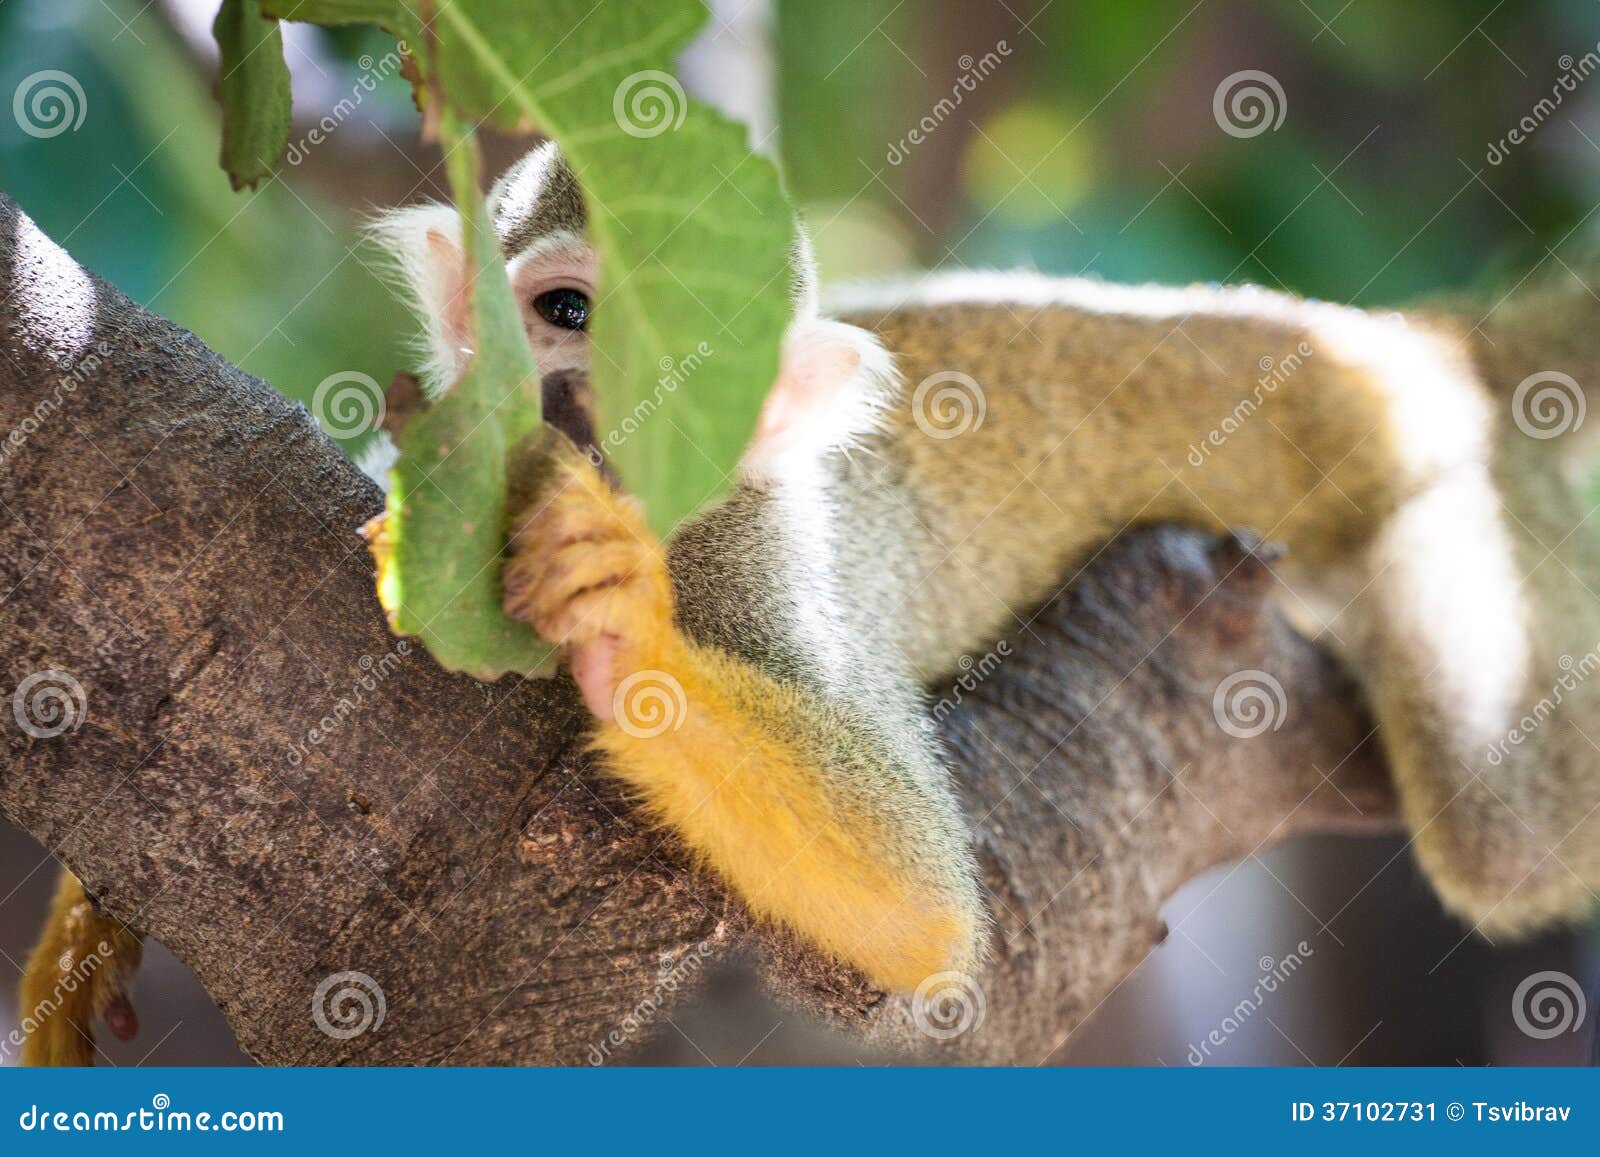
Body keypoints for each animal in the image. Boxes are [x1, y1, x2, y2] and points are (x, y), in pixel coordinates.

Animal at [22, 141, 1600, 1062]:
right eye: (567, 313)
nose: (600, 406)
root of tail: (1387, 347)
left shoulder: (759, 537)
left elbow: (916, 902)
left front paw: (620, 608)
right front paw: (89, 919)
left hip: (1441, 480)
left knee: (1509, 834)